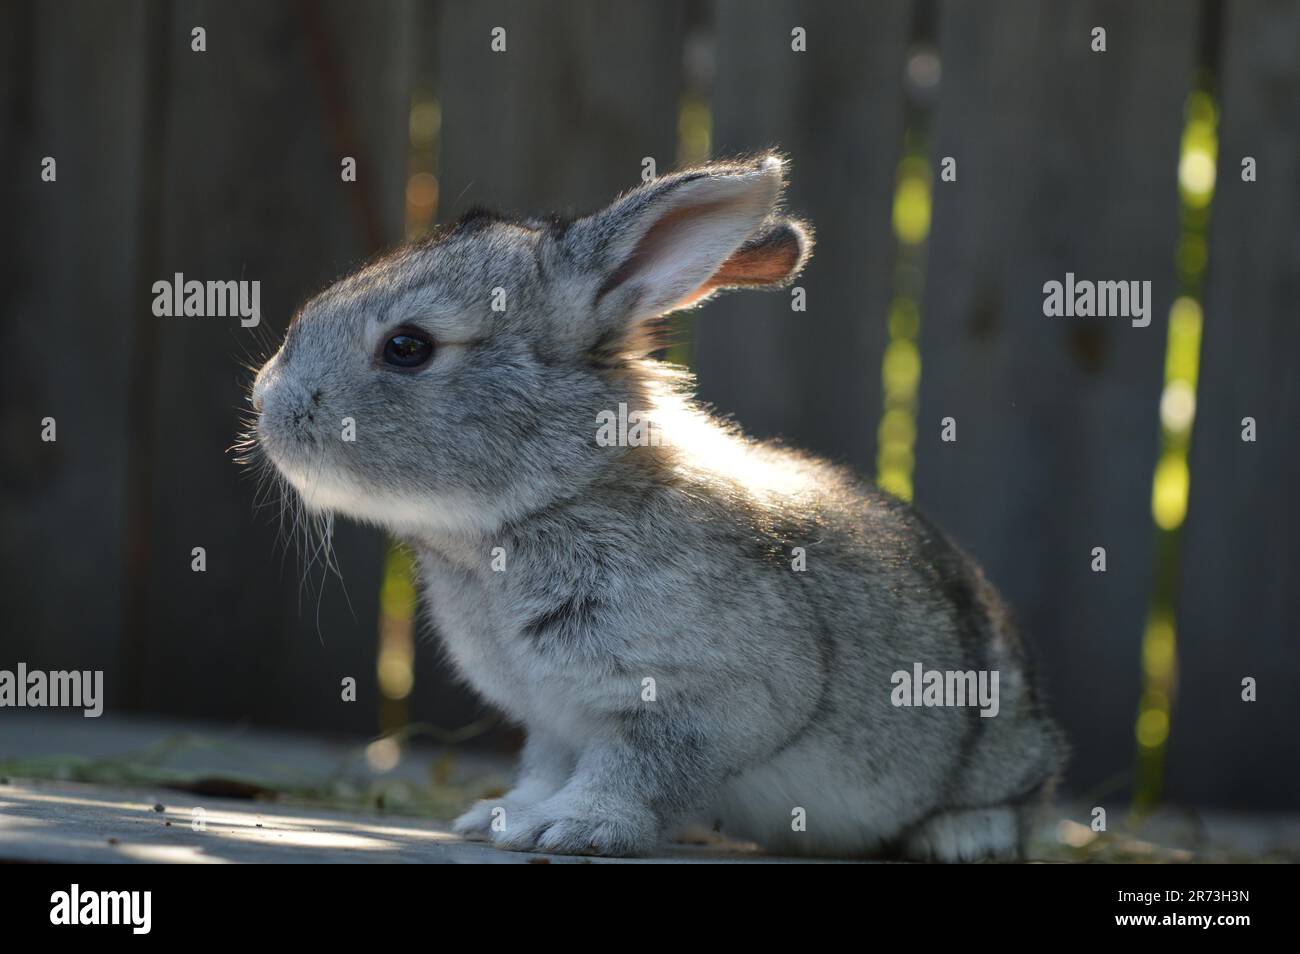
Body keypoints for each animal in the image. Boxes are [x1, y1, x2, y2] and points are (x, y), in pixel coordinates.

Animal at [248, 154, 1065, 860]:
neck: (555, 498)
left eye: (408, 347)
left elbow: (637, 771)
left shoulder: (699, 701)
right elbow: (546, 767)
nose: (265, 401)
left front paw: (570, 829)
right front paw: (502, 817)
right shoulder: (553, 720)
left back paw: (965, 836)